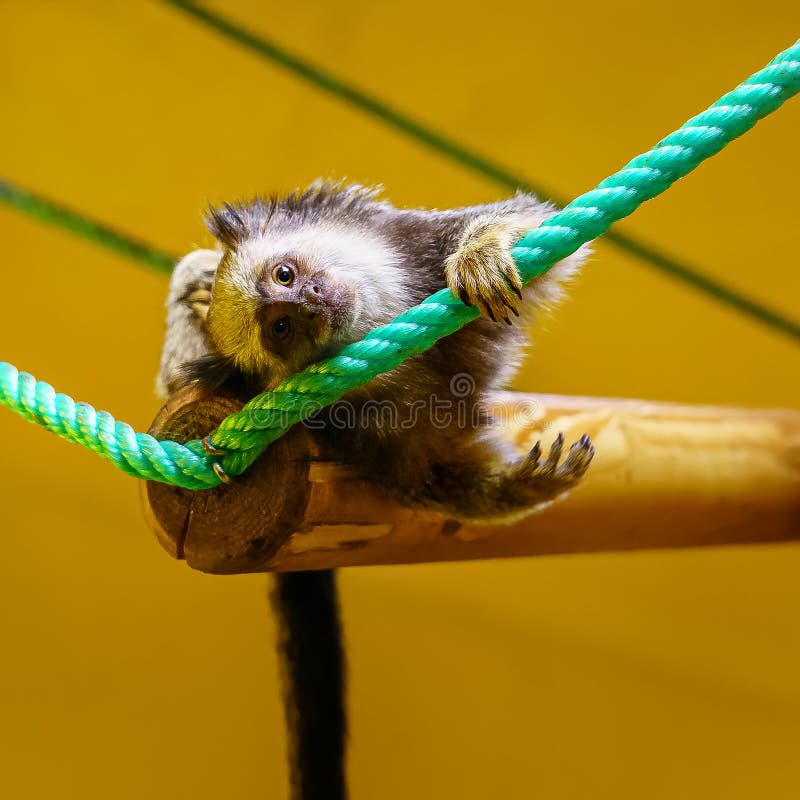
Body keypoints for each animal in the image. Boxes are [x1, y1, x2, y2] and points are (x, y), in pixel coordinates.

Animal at [157, 180, 593, 800]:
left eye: (285, 275)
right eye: (281, 329)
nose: (310, 302)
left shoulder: (418, 246)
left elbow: (521, 222)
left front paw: (481, 253)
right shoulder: (378, 434)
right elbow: (435, 478)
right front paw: (520, 489)